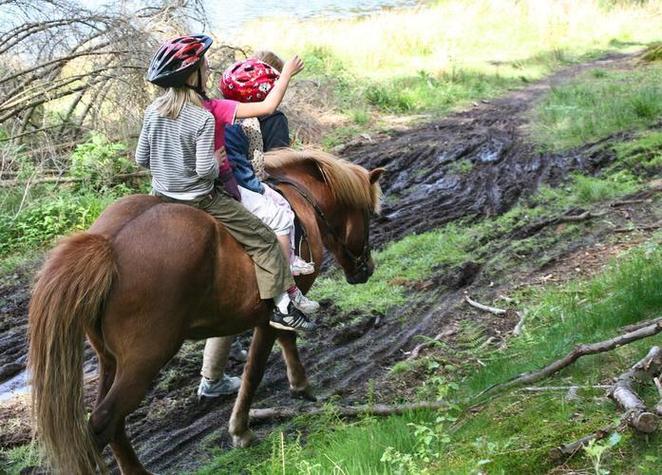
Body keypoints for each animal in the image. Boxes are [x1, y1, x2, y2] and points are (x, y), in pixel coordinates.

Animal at [27, 148, 384, 475]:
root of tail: (107, 245)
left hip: (110, 360)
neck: (300, 198)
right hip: (144, 361)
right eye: (368, 213)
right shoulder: (271, 312)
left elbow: (283, 340)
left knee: (108, 423)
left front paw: (299, 385)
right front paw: (241, 429)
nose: (366, 269)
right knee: (102, 422)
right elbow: (257, 367)